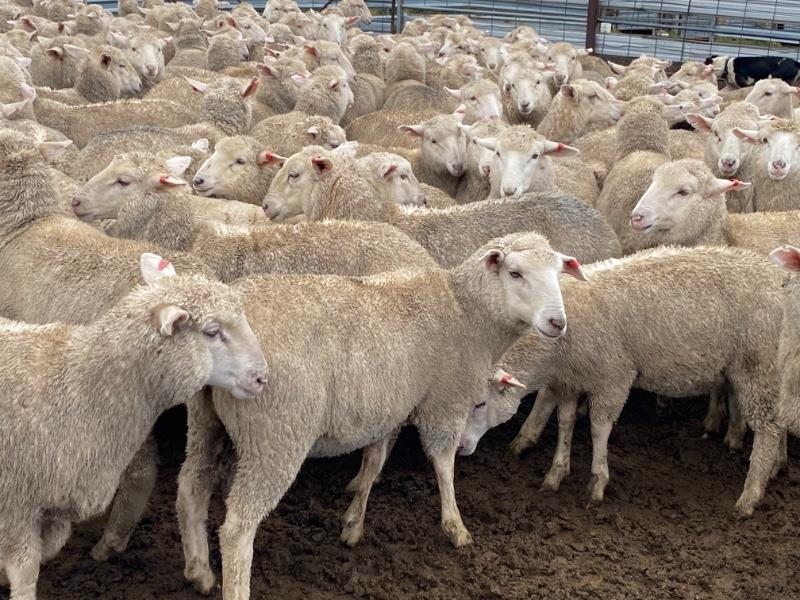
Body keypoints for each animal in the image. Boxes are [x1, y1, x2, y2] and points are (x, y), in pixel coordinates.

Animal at [0, 253, 267, 600]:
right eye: (211, 331)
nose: (261, 378)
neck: (78, 386)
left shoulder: (54, 506)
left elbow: (48, 550)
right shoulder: (15, 503)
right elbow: (26, 571)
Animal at [175, 232, 582, 597]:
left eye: (558, 273)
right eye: (515, 273)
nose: (558, 323)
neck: (465, 313)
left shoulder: (387, 407)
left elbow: (374, 461)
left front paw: (354, 523)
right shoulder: (445, 402)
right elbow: (443, 463)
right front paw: (456, 528)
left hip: (206, 422)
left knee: (191, 487)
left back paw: (199, 572)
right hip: (277, 435)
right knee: (238, 528)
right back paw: (232, 585)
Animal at [458, 245, 786, 521]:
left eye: (481, 404)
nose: (460, 446)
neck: (556, 348)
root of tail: (777, 278)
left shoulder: (613, 378)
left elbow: (598, 428)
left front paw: (596, 483)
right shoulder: (571, 380)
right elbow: (565, 421)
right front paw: (556, 473)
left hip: (758, 365)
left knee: (768, 429)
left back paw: (749, 496)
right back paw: (775, 467)